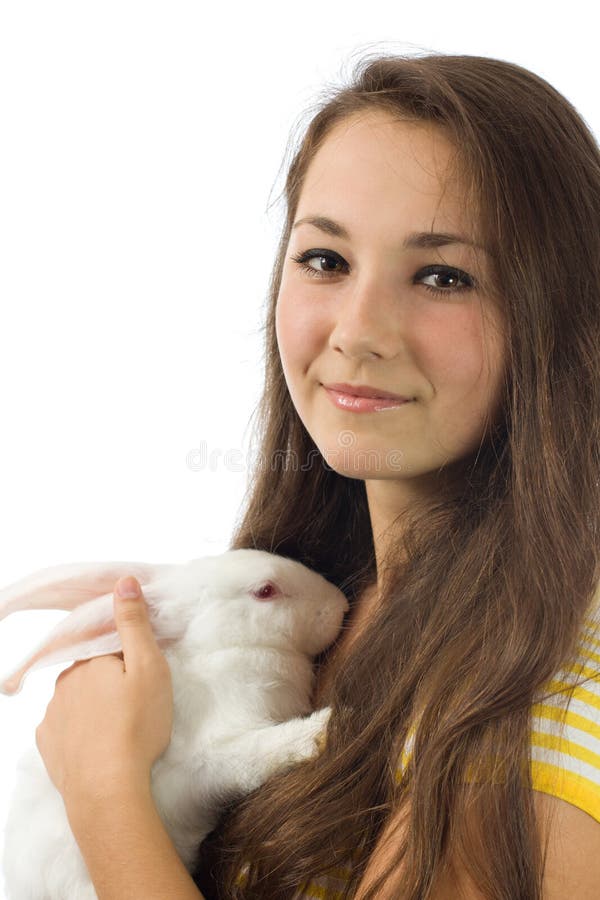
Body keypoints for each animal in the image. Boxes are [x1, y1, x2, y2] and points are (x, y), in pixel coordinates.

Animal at [0, 548, 349, 900]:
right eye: (265, 591)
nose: (341, 604)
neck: (223, 649)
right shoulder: (208, 757)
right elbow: (257, 753)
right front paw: (321, 728)